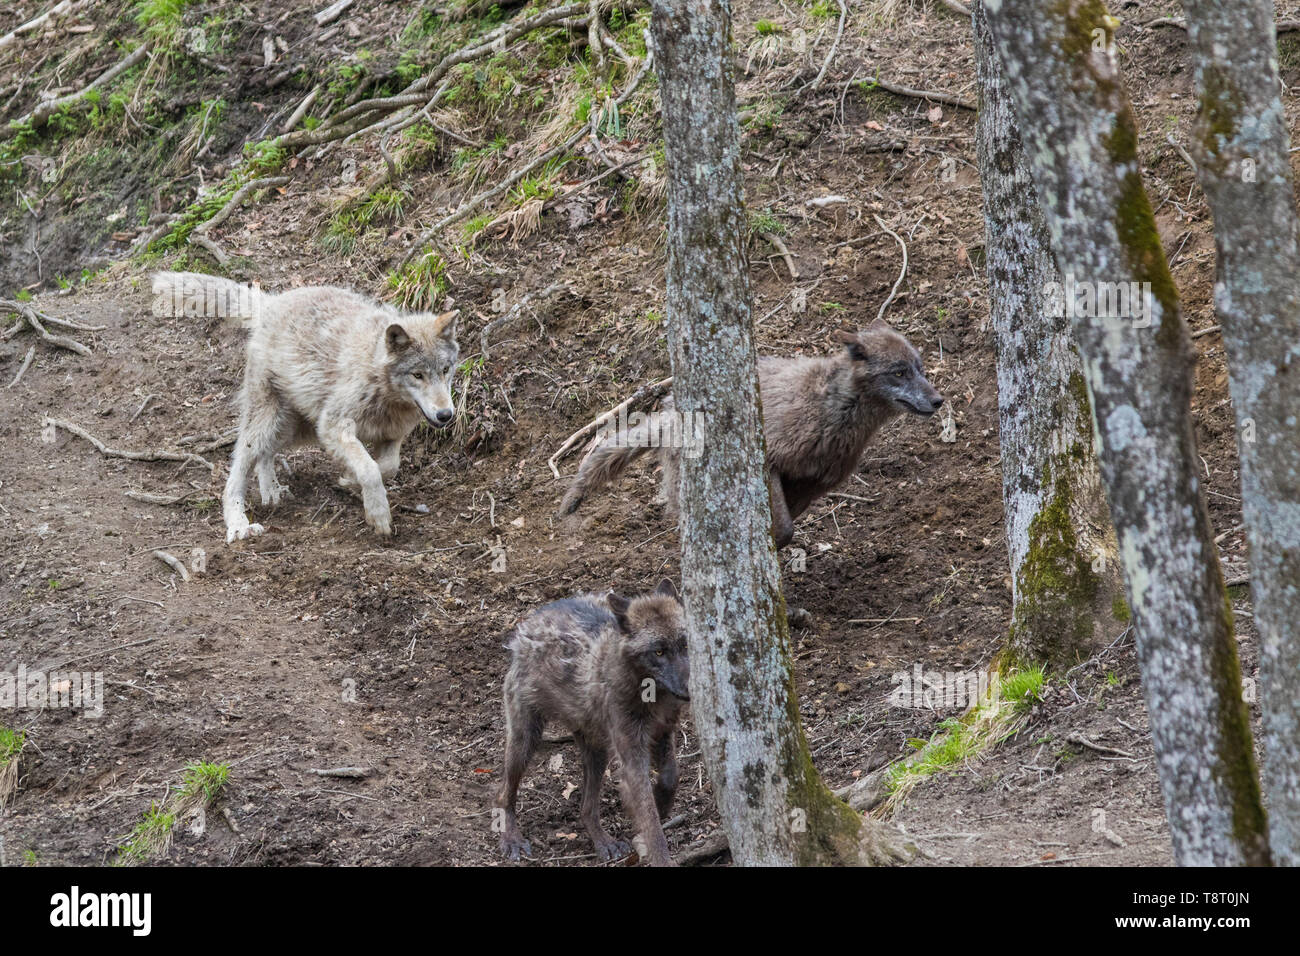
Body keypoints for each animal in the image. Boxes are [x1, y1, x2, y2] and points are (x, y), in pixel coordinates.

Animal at [151, 272, 459, 543]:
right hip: (270, 422)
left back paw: (272, 492)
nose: (446, 415)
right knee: (237, 472)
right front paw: (378, 514)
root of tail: (273, 301)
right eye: (417, 375)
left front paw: (349, 480)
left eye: (445, 370)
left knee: (266, 455)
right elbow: (370, 469)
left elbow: (387, 467)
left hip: (296, 428)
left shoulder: (391, 436)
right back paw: (239, 525)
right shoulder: (333, 425)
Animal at [495, 578, 689, 867]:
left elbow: (669, 778)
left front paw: (663, 804)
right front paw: (661, 856)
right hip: (524, 742)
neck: (653, 695)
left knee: (586, 809)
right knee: (503, 794)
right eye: (659, 651)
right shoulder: (632, 758)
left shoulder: (664, 733)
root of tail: (528, 624)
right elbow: (649, 820)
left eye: (685, 644)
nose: (689, 689)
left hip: (596, 751)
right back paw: (512, 838)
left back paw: (604, 843)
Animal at [559, 321, 943, 548]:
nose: (939, 400)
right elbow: (782, 530)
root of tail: (668, 410)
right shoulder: (768, 461)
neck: (831, 412)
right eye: (898, 372)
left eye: (920, 368)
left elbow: (782, 531)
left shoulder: (811, 485)